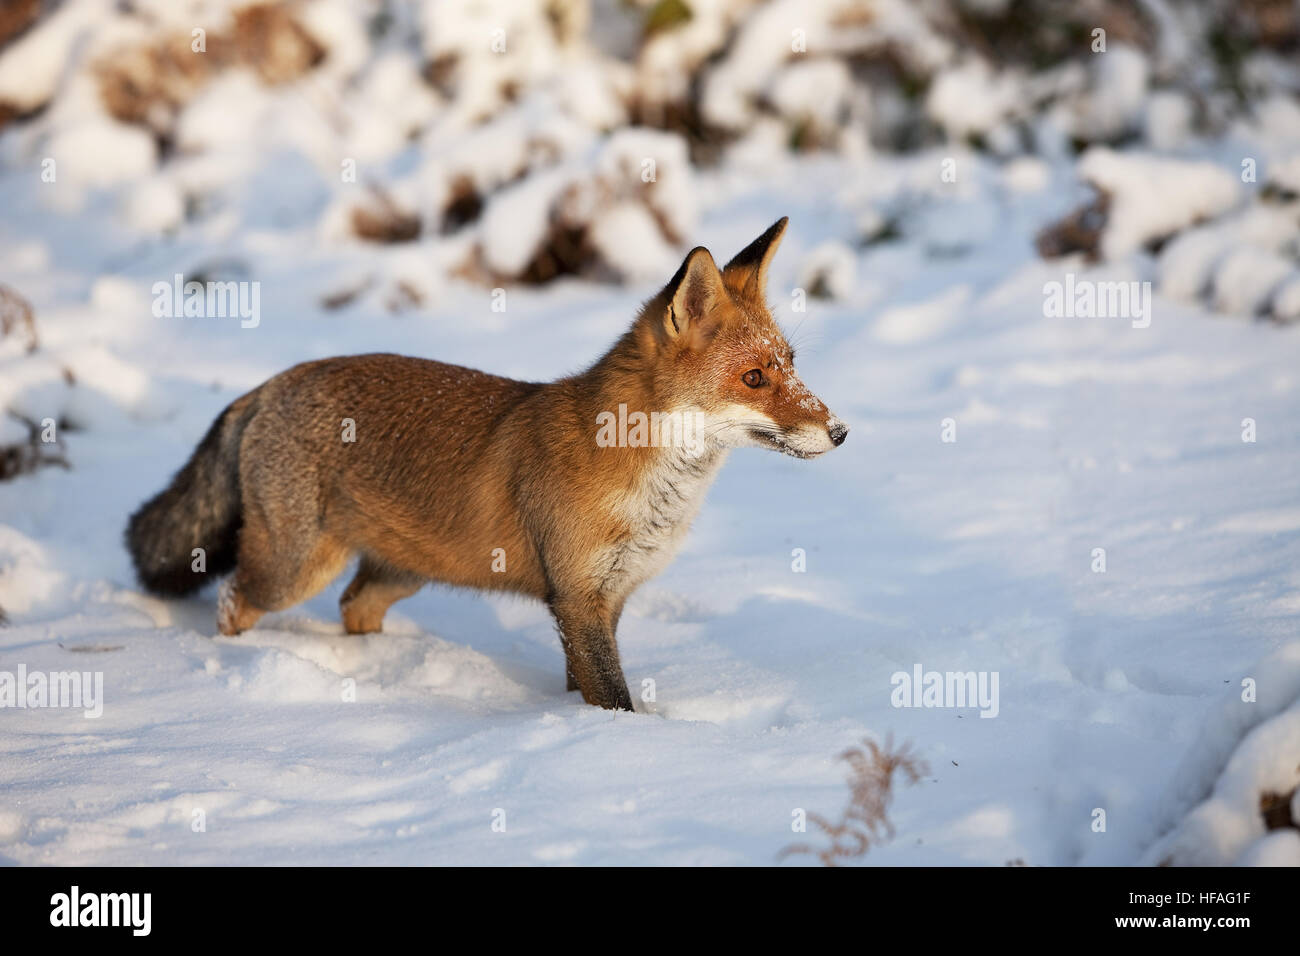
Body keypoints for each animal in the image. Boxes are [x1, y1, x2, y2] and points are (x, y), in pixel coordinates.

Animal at [126, 217, 847, 711]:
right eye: (754, 378)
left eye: (790, 364)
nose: (840, 432)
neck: (648, 489)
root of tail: (271, 383)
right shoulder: (578, 598)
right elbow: (615, 698)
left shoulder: (604, 601)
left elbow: (587, 689)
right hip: (294, 567)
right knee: (232, 600)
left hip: (400, 571)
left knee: (353, 606)